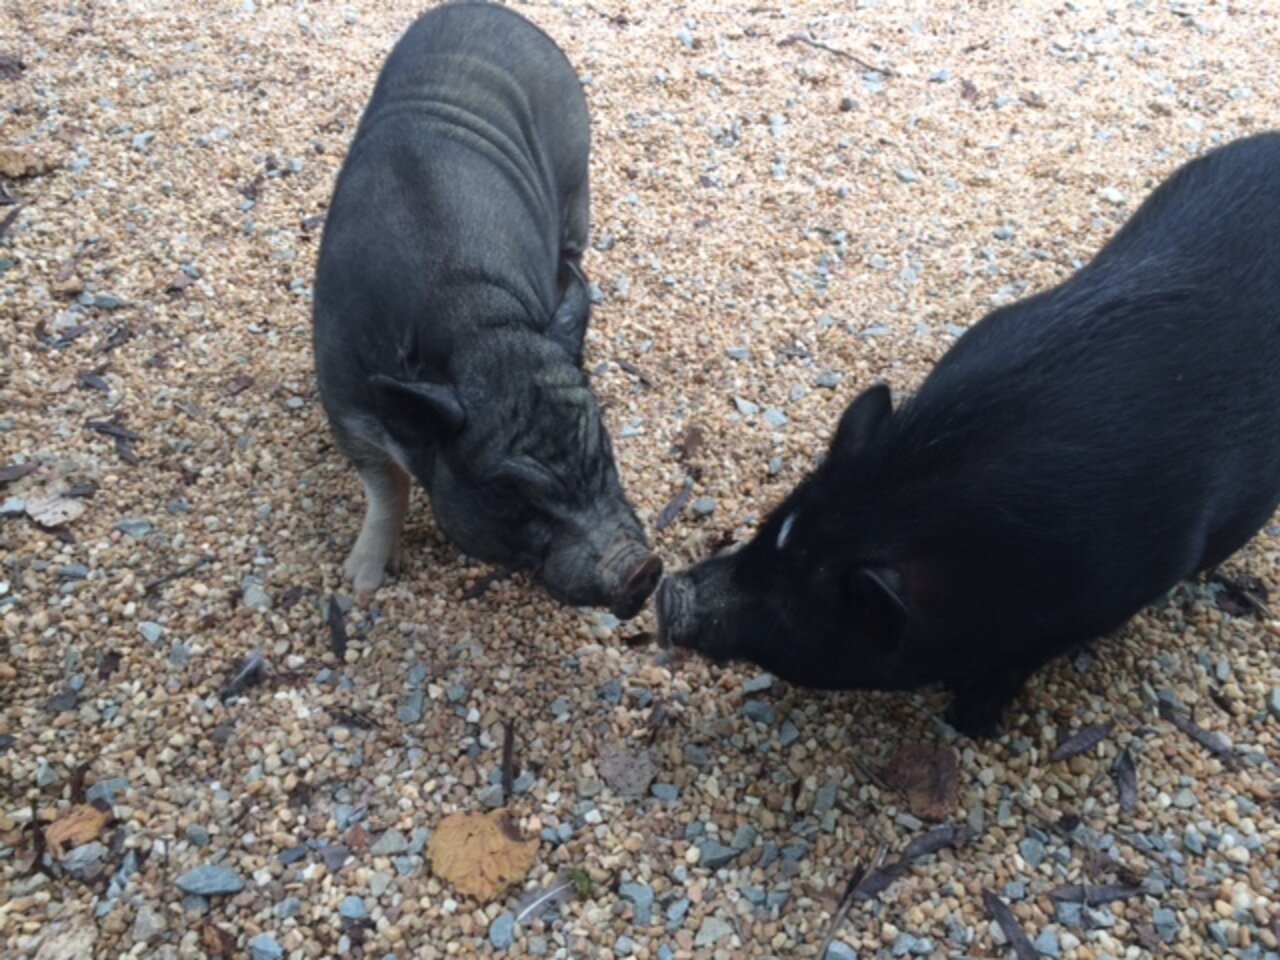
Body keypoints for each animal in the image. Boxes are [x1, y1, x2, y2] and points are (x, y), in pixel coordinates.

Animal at [312, 1, 661, 618]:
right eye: (509, 493)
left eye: (604, 452)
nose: (644, 569)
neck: (477, 324)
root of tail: (487, 9)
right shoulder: (344, 399)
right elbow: (385, 487)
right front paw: (362, 585)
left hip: (577, 183)